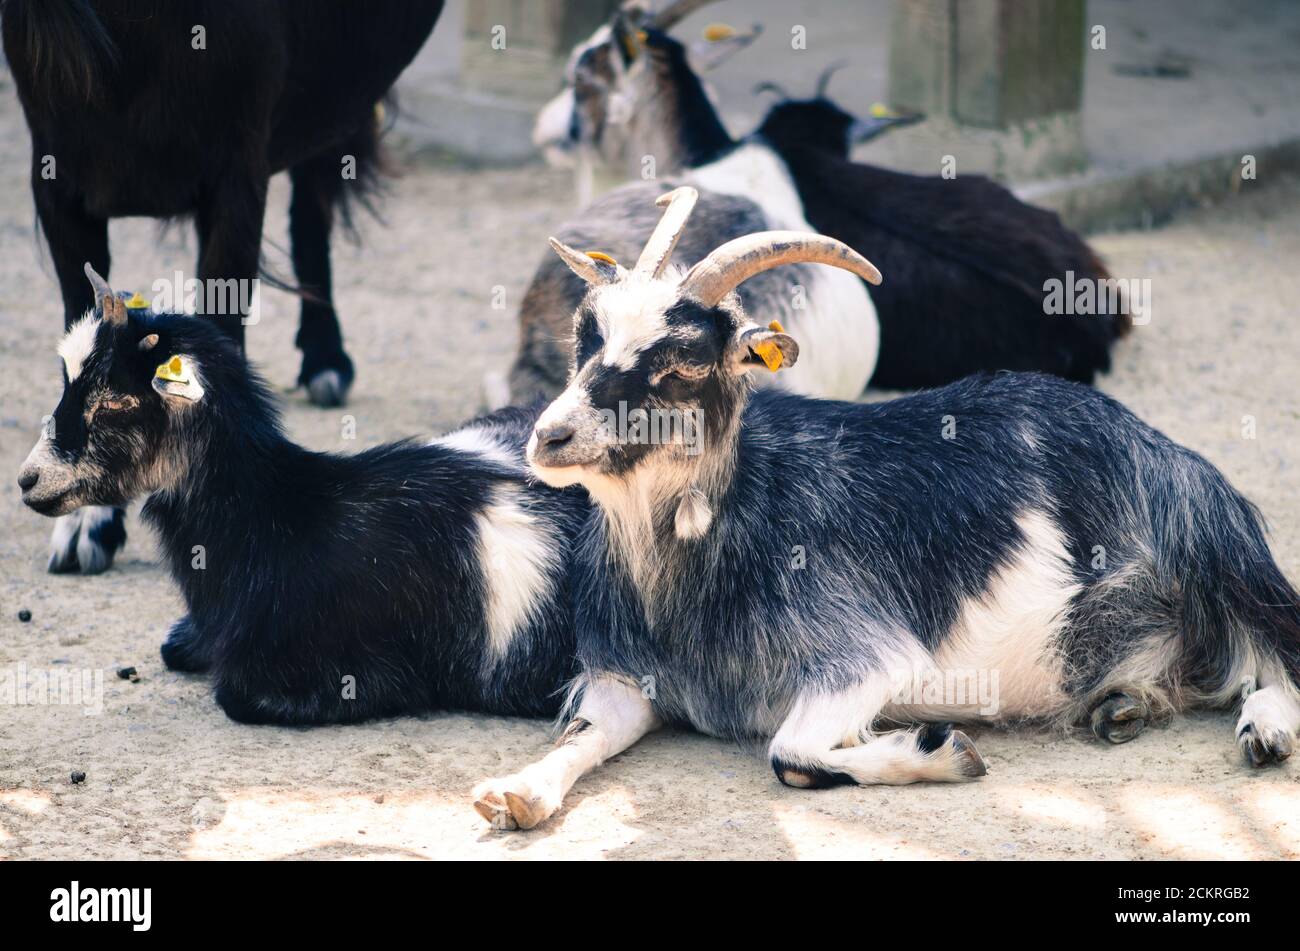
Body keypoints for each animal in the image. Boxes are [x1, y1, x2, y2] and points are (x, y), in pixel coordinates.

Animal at [17, 266, 584, 726]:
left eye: (115, 403)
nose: (28, 480)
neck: (274, 516)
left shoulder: (353, 667)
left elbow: (239, 696)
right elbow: (173, 647)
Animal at [471, 189, 1300, 831]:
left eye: (682, 365)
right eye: (584, 339)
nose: (551, 435)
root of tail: (1166, 448)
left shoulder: (864, 655)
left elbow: (790, 754)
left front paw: (945, 753)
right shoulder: (625, 680)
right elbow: (580, 735)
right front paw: (515, 792)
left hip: (1220, 547)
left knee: (1275, 647)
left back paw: (1265, 728)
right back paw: (1125, 703)